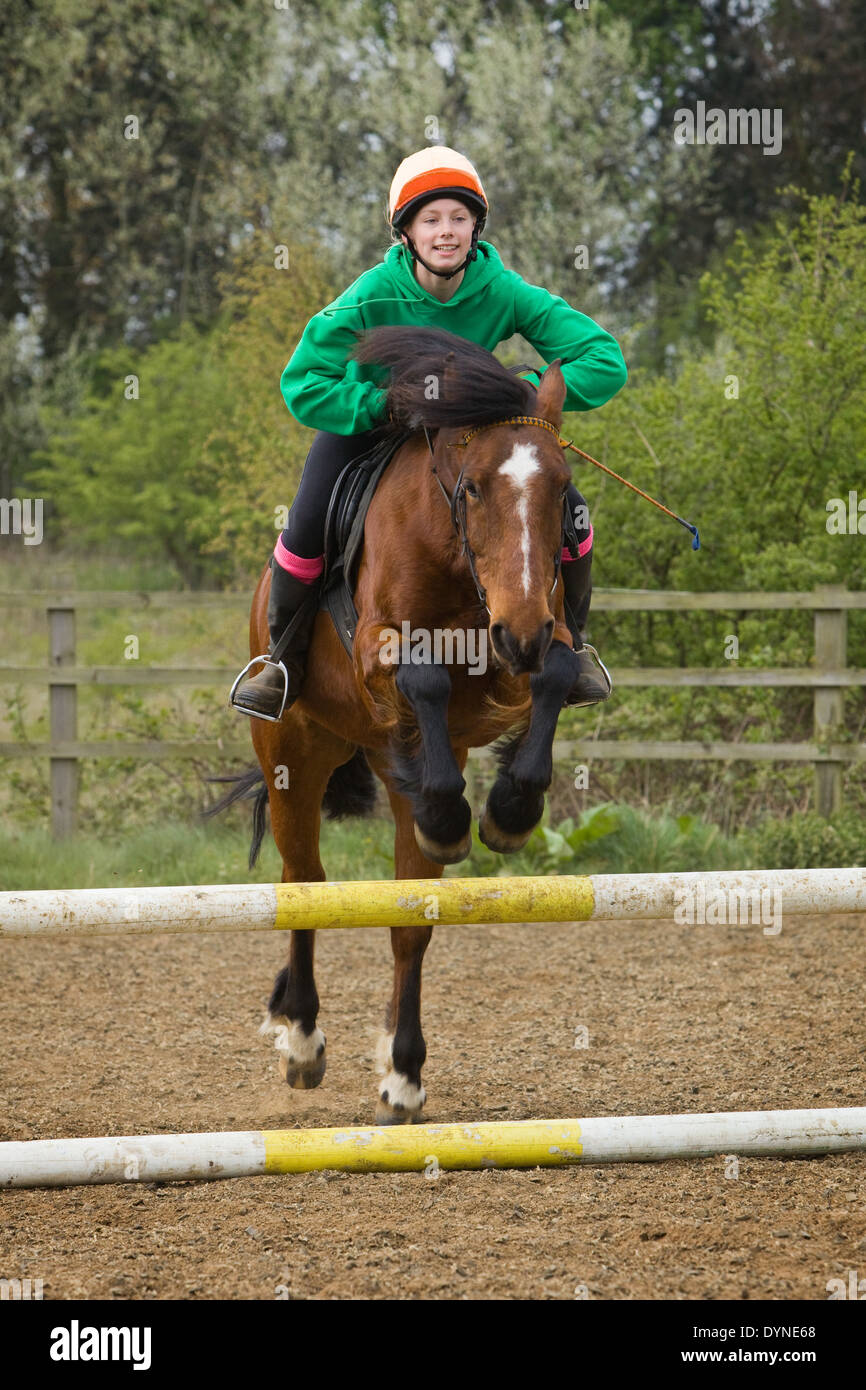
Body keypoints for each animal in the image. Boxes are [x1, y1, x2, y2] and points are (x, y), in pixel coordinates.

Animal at [213, 326, 583, 1124]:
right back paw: (301, 1036)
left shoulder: (530, 633)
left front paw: (508, 809)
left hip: (391, 757)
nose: (522, 634)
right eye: (472, 487)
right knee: (305, 880)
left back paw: (404, 1077)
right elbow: (421, 675)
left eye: (562, 488)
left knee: (409, 919)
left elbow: (558, 675)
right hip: (293, 749)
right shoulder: (382, 645)